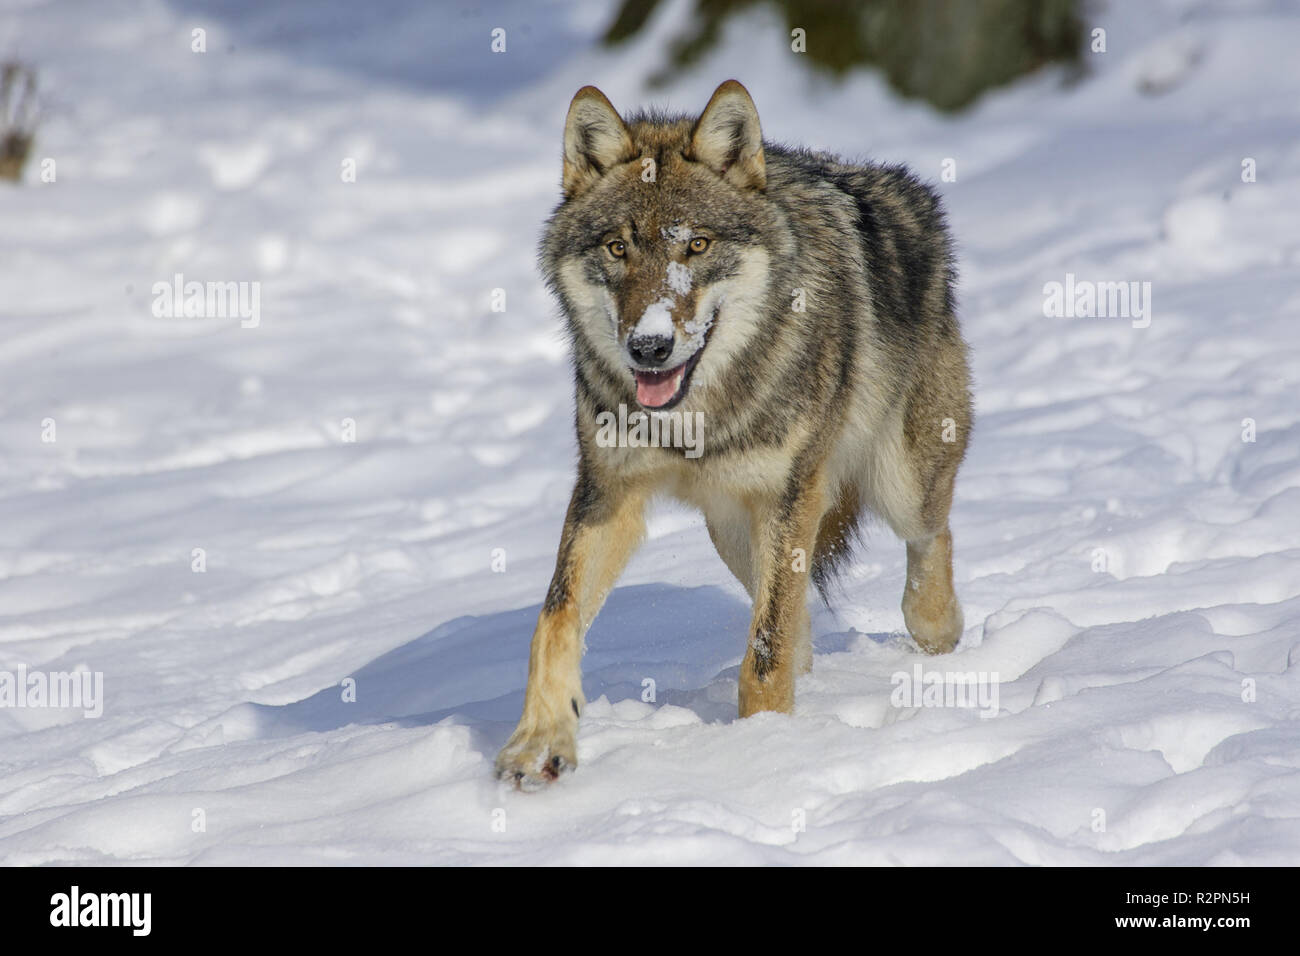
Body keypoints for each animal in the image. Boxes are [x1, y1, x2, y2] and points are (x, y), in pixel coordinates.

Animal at [496, 80, 972, 789]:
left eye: (696, 246)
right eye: (617, 248)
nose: (649, 348)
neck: (693, 418)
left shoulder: (788, 496)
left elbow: (766, 654)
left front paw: (762, 754)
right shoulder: (607, 493)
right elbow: (553, 621)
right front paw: (539, 743)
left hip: (896, 484)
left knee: (929, 540)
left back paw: (939, 635)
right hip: (731, 531)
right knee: (796, 623)